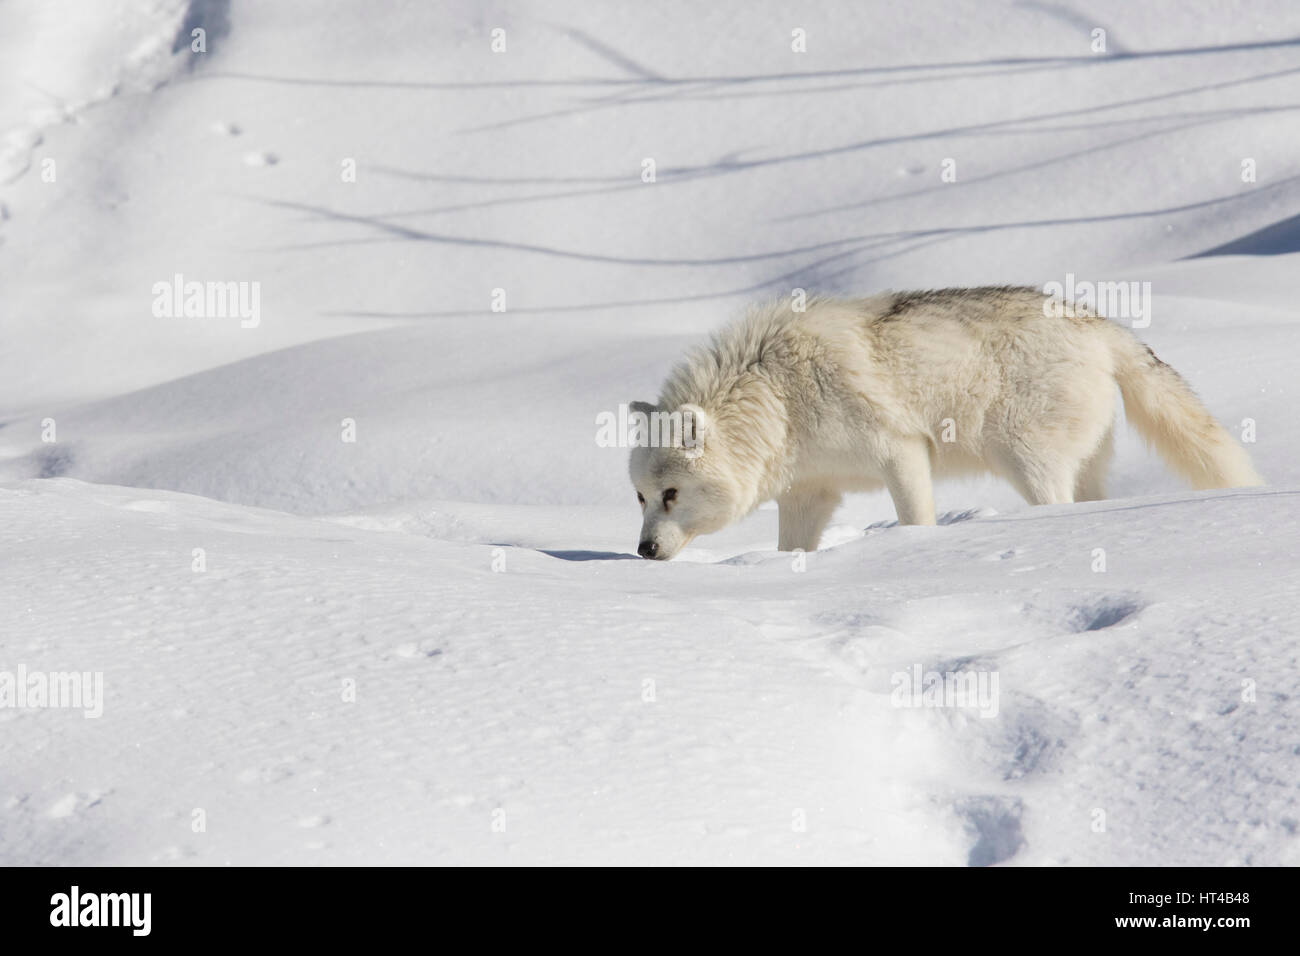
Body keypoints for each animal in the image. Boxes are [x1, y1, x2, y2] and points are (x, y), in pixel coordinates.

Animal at [628, 287, 1262, 560]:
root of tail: (1102, 324)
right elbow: (791, 549)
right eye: (640, 498)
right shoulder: (810, 493)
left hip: (1028, 465)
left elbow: (917, 521)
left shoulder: (903, 453)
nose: (643, 550)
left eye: (672, 494)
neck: (779, 397)